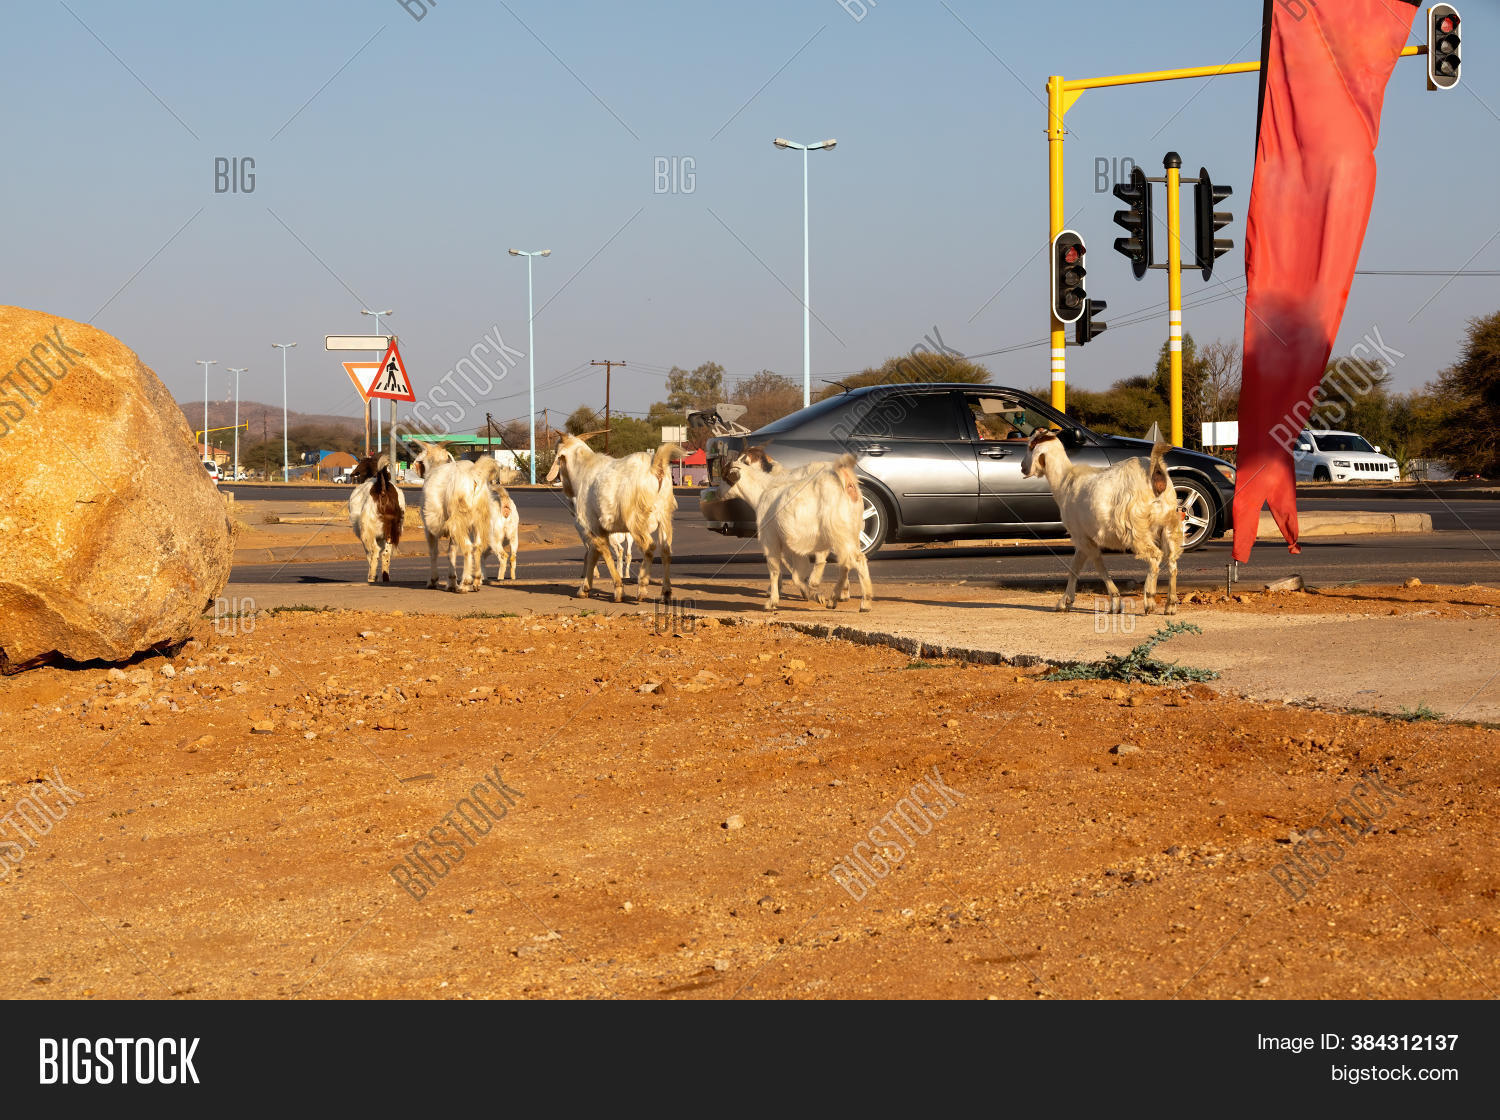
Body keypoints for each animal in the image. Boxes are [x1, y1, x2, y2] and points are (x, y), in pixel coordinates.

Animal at [347, 452, 406, 584]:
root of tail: (383, 489)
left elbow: (369, 555)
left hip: (368, 531)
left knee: (374, 552)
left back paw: (371, 577)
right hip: (392, 531)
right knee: (385, 554)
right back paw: (385, 578)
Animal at [415, 445, 506, 592]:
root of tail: (474, 474)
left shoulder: (429, 527)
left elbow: (434, 551)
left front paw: (432, 581)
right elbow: (451, 551)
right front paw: (451, 582)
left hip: (458, 519)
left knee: (468, 547)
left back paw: (465, 583)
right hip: (479, 520)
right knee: (477, 546)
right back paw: (476, 581)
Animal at [546, 433, 677, 602]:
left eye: (557, 452)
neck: (584, 470)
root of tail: (656, 468)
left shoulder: (591, 523)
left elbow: (603, 551)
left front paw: (618, 589)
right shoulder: (595, 527)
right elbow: (593, 554)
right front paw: (584, 589)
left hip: (635, 520)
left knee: (649, 547)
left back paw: (642, 589)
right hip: (665, 517)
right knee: (666, 550)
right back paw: (666, 592)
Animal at [722, 447, 873, 612]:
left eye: (725, 476)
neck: (763, 490)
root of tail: (845, 481)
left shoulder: (770, 539)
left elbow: (775, 569)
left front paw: (772, 601)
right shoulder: (793, 545)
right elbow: (797, 574)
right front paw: (811, 593)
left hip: (839, 533)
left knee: (855, 560)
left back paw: (864, 602)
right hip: (850, 533)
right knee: (844, 563)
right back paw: (834, 598)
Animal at [1021, 431, 1183, 615]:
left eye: (1030, 446)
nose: (1022, 467)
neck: (1064, 481)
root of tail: (1154, 470)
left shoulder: (1081, 536)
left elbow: (1099, 566)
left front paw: (1115, 601)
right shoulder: (1083, 537)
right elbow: (1074, 568)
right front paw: (1065, 602)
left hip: (1135, 527)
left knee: (1155, 556)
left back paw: (1149, 599)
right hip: (1169, 524)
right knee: (1172, 561)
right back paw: (1170, 605)